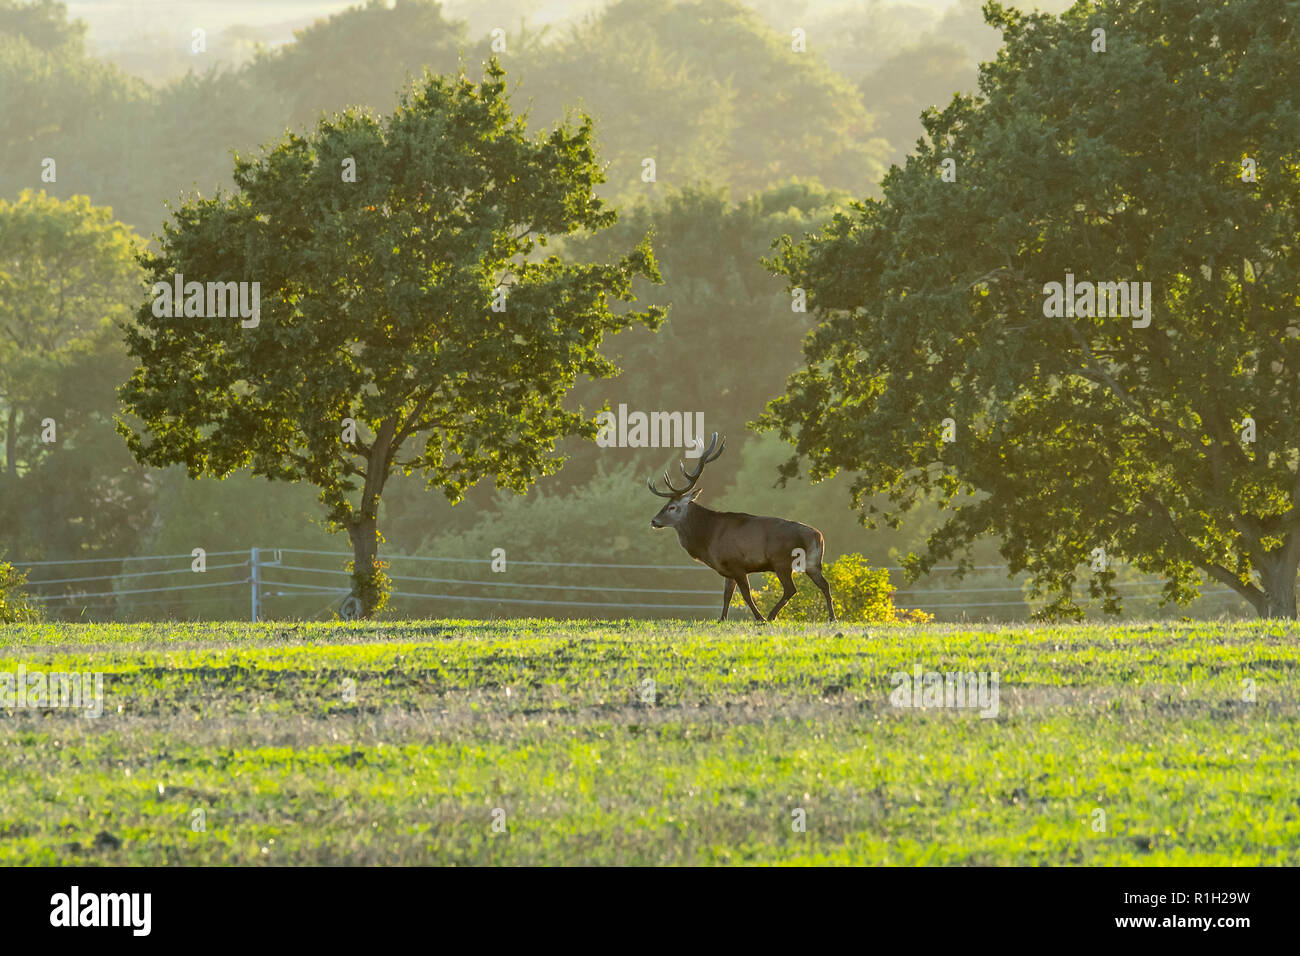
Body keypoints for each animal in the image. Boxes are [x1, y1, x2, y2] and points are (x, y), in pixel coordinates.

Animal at [648, 432, 836, 623]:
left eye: (672, 507)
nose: (654, 521)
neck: (708, 539)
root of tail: (818, 536)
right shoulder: (727, 569)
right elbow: (727, 595)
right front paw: (722, 619)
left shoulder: (737, 564)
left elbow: (746, 595)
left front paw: (759, 618)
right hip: (812, 563)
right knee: (825, 585)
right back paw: (832, 617)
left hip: (782, 561)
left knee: (791, 589)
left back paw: (771, 615)